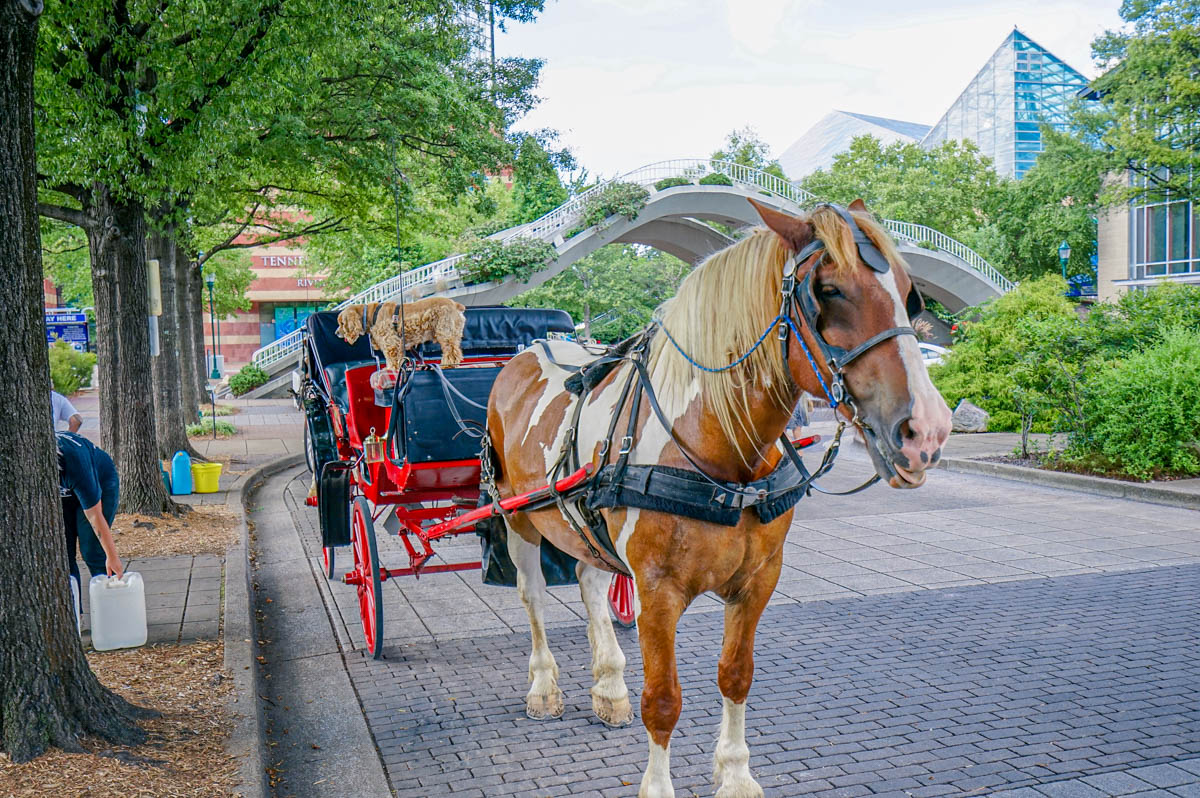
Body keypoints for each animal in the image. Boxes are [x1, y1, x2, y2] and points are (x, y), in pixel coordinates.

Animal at [485, 197, 952, 797]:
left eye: (911, 294)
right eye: (826, 290)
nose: (927, 430)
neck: (722, 454)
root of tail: (531, 350)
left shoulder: (758, 580)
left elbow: (736, 677)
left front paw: (734, 775)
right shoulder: (657, 591)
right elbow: (663, 700)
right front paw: (658, 786)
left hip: (583, 522)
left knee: (590, 583)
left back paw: (609, 687)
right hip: (518, 520)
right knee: (535, 595)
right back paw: (544, 687)